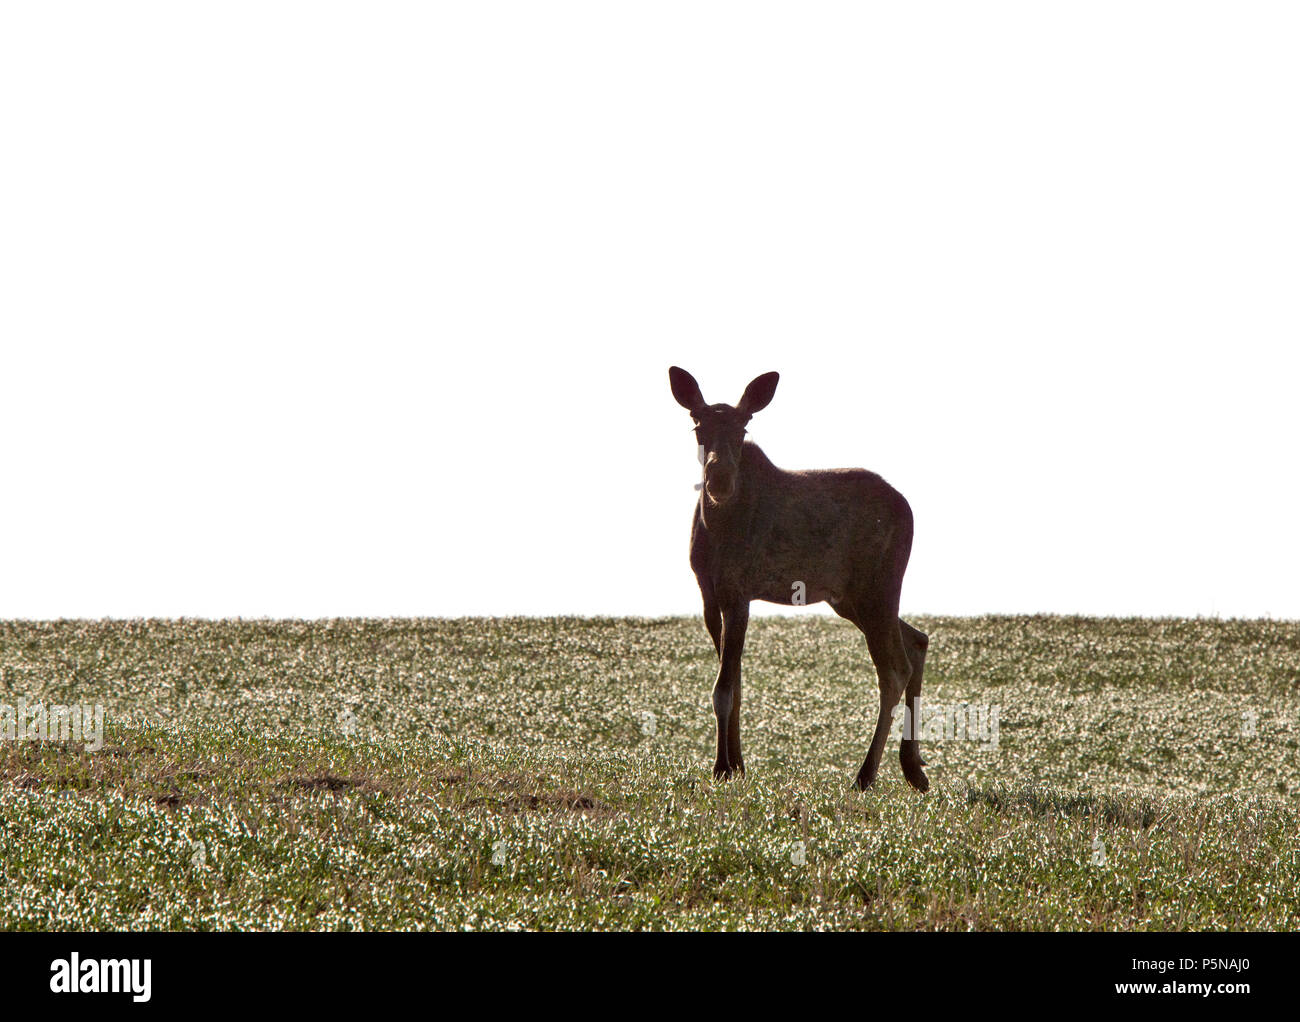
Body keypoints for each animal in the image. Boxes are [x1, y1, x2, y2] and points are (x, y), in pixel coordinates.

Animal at [668, 366, 930, 792]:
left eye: (743, 427)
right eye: (697, 425)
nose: (719, 478)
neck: (718, 527)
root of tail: (908, 509)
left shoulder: (738, 592)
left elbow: (723, 689)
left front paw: (722, 767)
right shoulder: (709, 596)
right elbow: (735, 682)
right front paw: (738, 764)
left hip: (878, 586)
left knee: (894, 669)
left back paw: (865, 775)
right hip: (849, 598)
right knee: (917, 640)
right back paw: (913, 768)